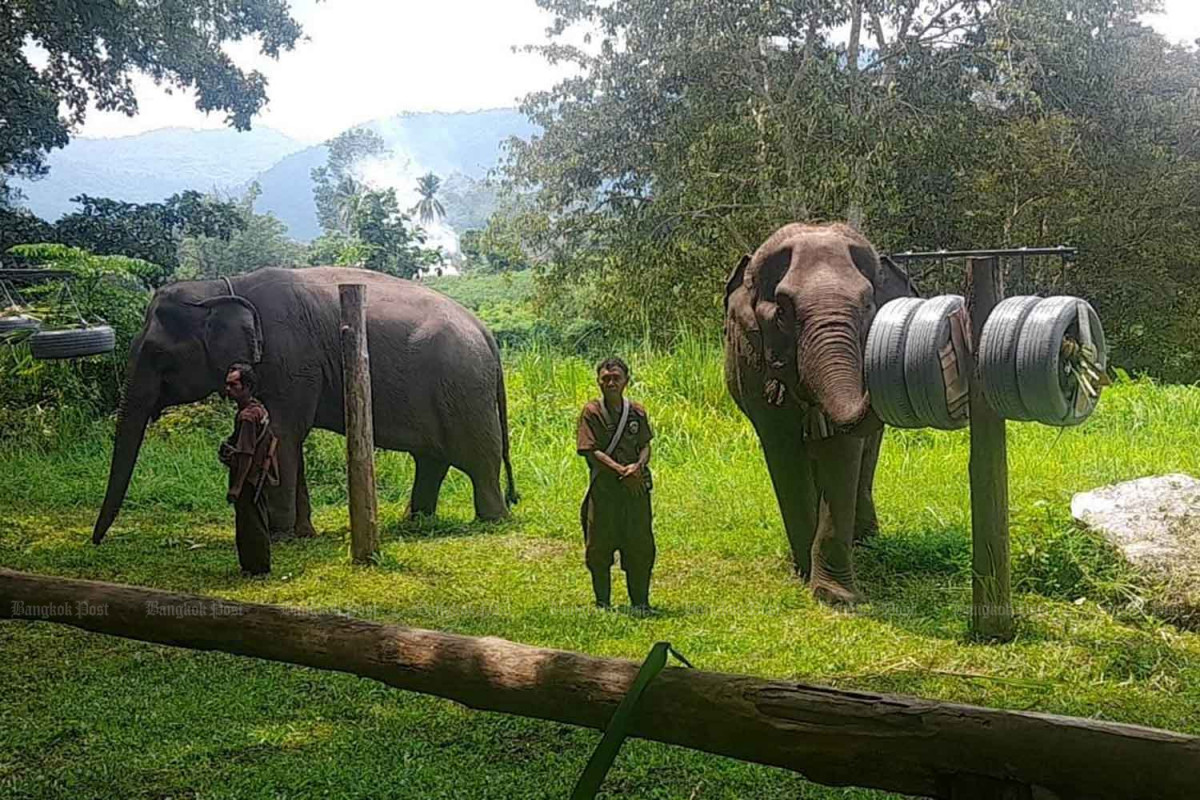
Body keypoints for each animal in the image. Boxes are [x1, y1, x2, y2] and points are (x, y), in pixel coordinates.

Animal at [92, 267, 518, 546]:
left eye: (158, 355)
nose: (97, 542)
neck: (221, 285)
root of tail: (487, 333)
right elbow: (282, 441)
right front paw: (302, 533)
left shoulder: (290, 360)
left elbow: (283, 433)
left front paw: (279, 535)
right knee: (431, 459)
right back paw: (414, 522)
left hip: (464, 390)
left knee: (478, 458)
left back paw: (491, 519)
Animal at [723, 223, 916, 604]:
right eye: (783, 312)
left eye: (868, 305)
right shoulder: (752, 366)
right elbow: (783, 449)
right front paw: (803, 572)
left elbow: (842, 452)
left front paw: (836, 597)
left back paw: (866, 540)